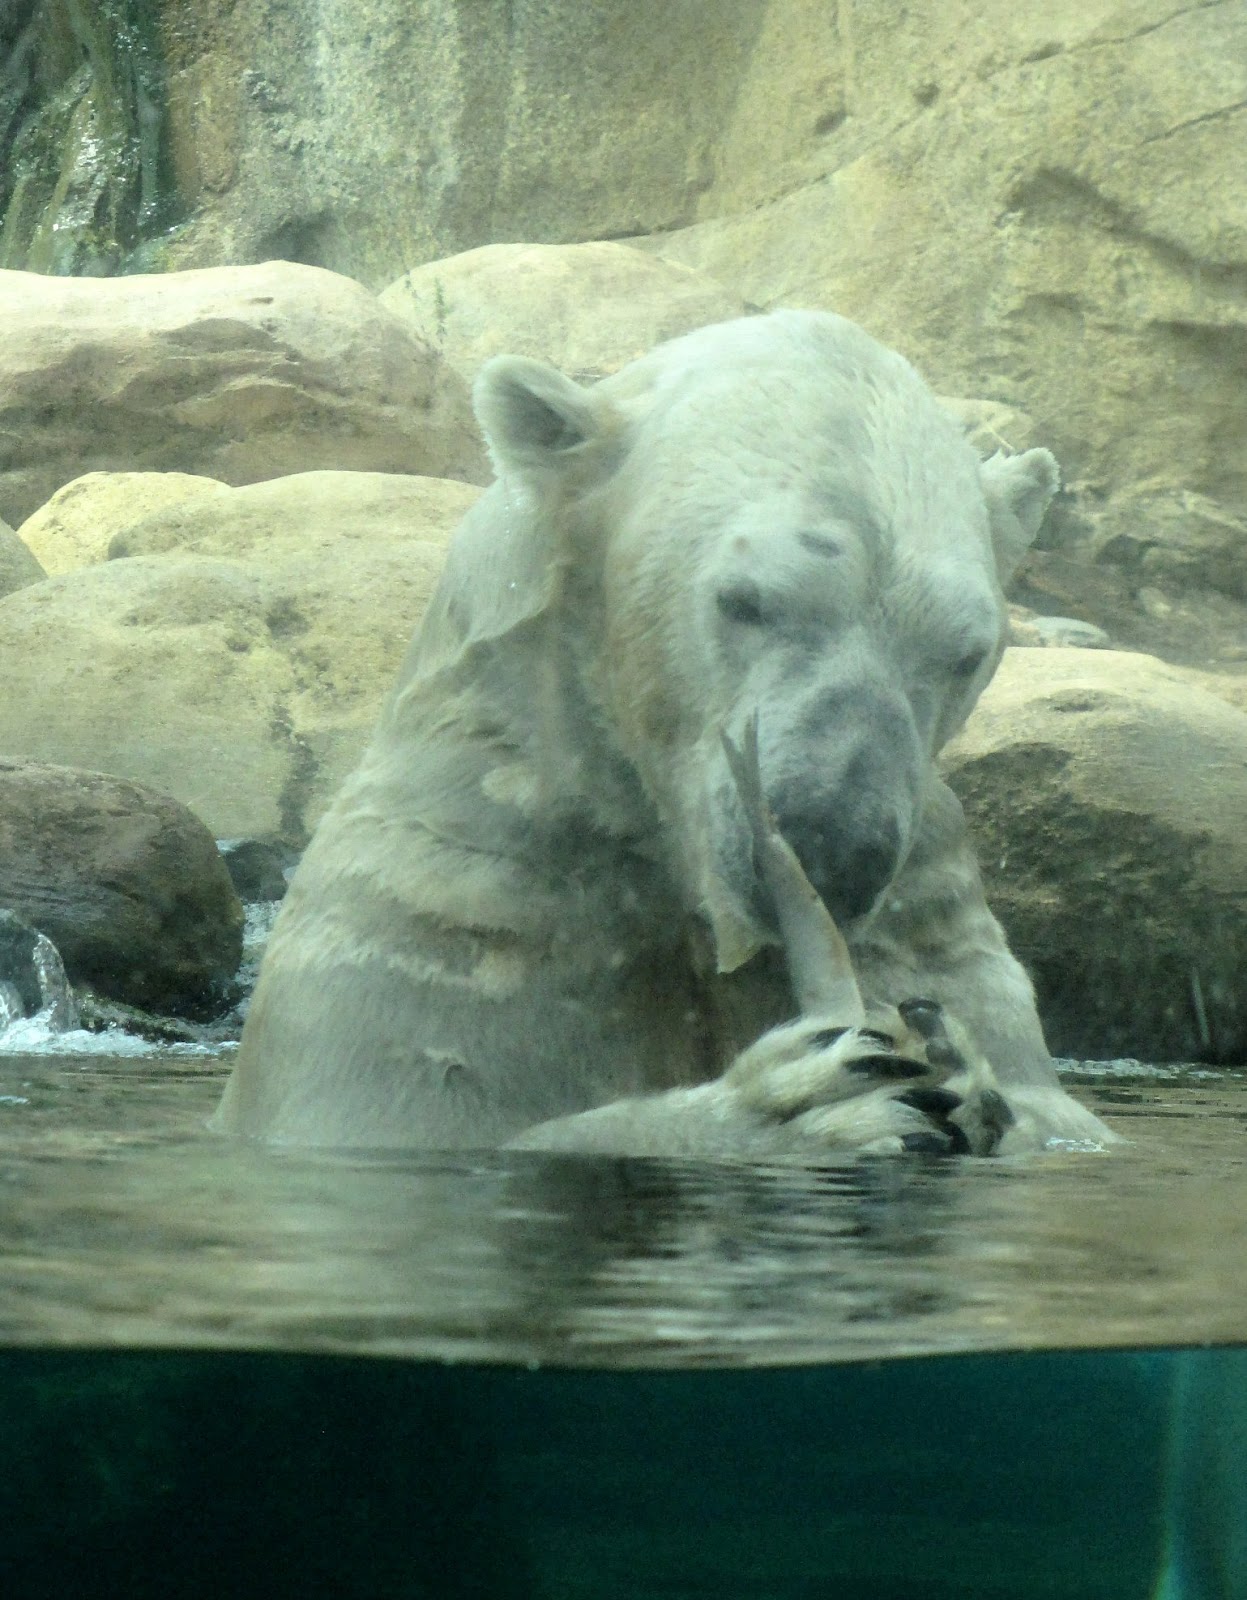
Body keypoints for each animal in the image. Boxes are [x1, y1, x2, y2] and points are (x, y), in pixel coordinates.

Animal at [213, 310, 1116, 1157]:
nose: (834, 849)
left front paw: (956, 1065)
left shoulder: (923, 919)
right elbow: (409, 1108)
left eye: (965, 650)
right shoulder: (460, 912)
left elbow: (1044, 1099)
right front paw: (796, 1102)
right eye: (743, 599)